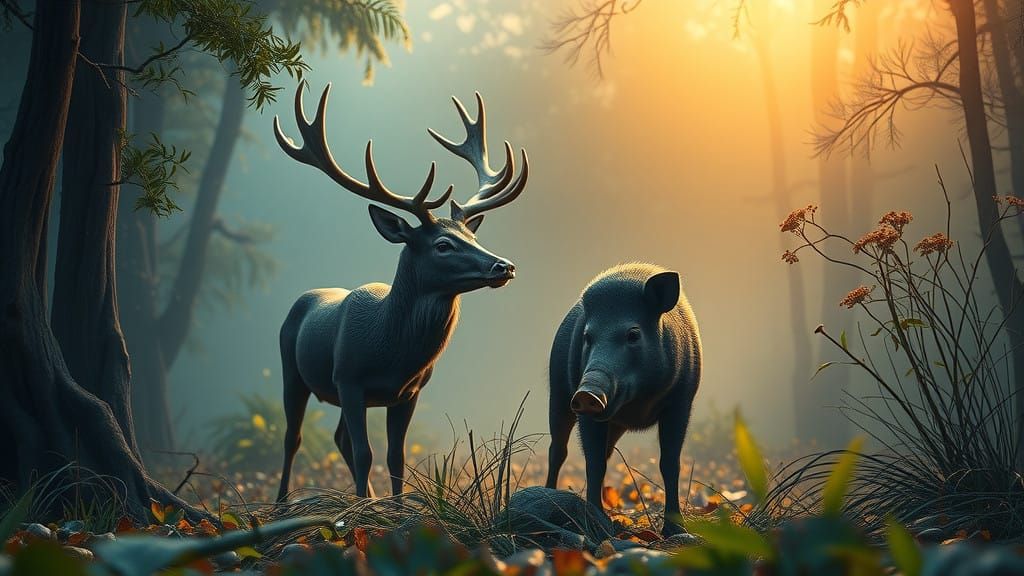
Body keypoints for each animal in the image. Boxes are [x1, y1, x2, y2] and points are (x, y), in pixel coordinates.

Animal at [272, 81, 529, 502]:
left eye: (473, 235)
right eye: (443, 245)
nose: (503, 266)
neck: (392, 352)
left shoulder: (410, 391)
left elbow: (396, 455)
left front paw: (393, 507)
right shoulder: (349, 378)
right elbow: (366, 452)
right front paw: (361, 513)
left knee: (339, 437)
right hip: (292, 370)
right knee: (293, 438)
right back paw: (281, 504)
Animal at [545, 263, 702, 536]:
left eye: (633, 334)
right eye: (588, 337)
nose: (587, 392)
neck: (639, 402)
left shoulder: (681, 403)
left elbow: (670, 463)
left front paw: (674, 531)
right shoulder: (584, 412)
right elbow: (594, 462)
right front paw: (598, 528)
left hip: (610, 421)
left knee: (604, 452)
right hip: (559, 393)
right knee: (558, 450)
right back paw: (549, 494)